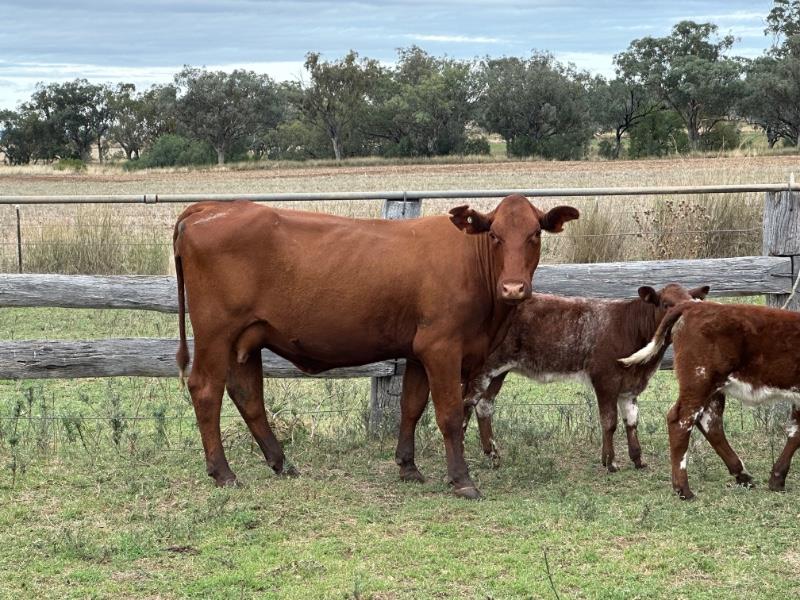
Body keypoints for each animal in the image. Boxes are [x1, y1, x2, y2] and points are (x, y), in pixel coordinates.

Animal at [173, 195, 579, 499]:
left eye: (535, 234)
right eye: (494, 235)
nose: (513, 288)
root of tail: (209, 208)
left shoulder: (419, 351)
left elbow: (411, 407)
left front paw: (408, 467)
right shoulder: (442, 348)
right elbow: (448, 415)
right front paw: (462, 480)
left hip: (245, 339)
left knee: (247, 395)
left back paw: (281, 463)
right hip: (215, 332)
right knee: (206, 390)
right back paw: (224, 473)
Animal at [461, 284, 709, 472]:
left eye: (692, 302)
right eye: (666, 304)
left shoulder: (629, 387)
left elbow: (631, 422)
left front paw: (638, 460)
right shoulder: (605, 379)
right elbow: (609, 422)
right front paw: (610, 462)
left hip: (499, 372)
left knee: (484, 406)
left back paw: (493, 455)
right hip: (483, 369)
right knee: (465, 404)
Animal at [621, 301, 800, 499]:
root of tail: (694, 305)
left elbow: (795, 434)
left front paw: (777, 478)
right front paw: (778, 478)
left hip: (713, 389)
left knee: (711, 424)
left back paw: (742, 475)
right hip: (698, 381)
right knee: (680, 421)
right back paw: (683, 489)